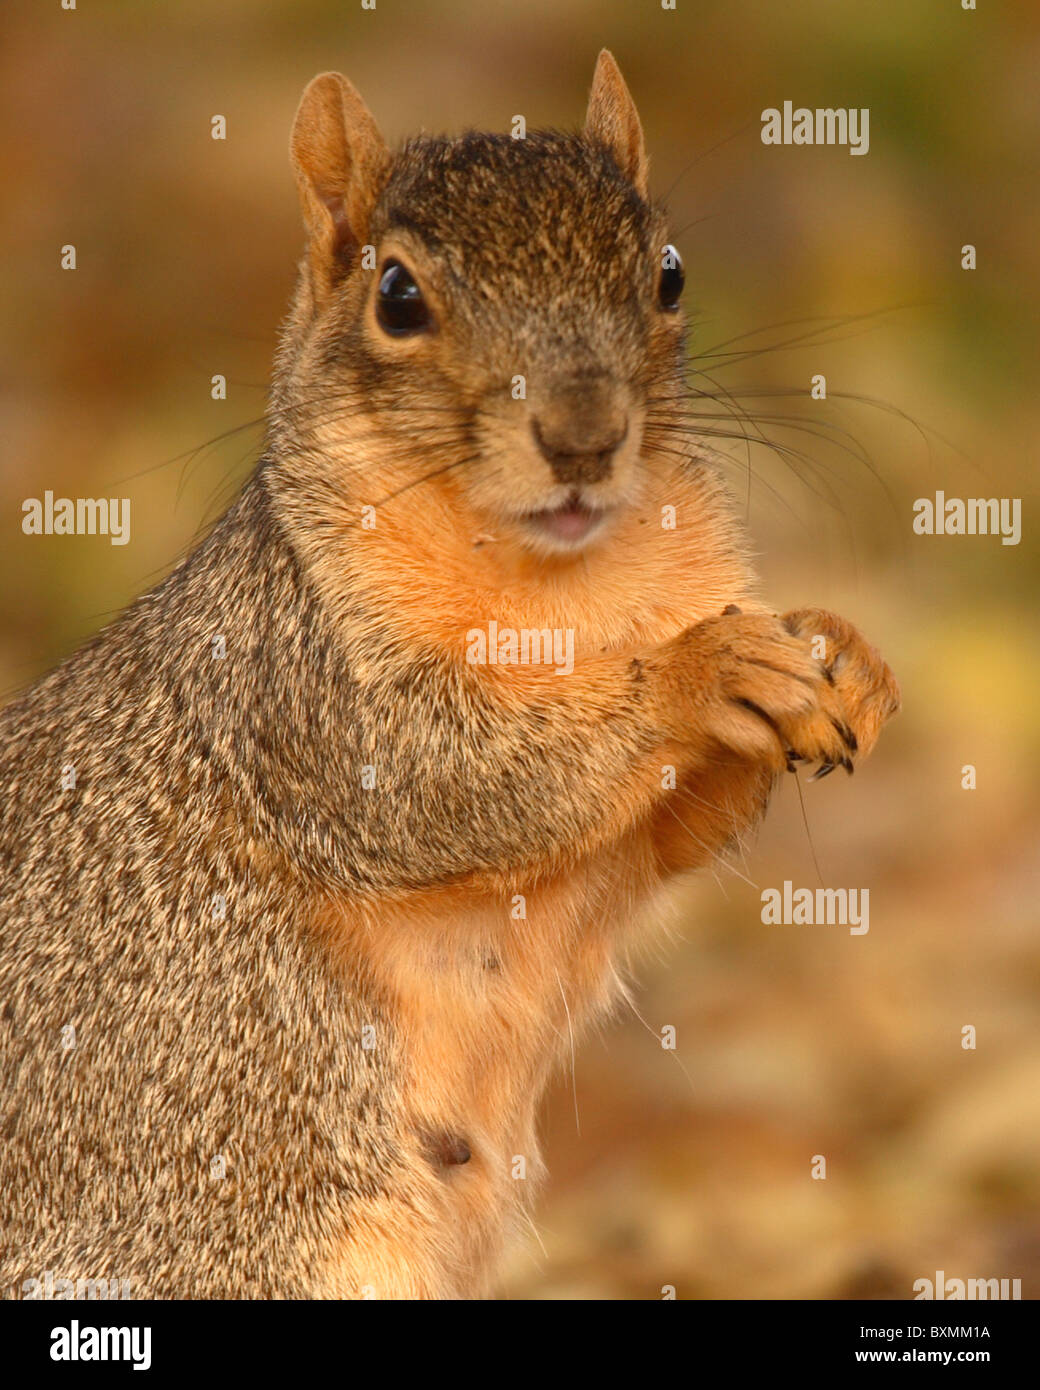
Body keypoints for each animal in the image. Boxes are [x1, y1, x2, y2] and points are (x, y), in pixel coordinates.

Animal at [0, 52, 899, 1300]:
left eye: (667, 273)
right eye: (397, 296)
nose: (583, 437)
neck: (562, 590)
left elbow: (675, 830)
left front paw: (841, 652)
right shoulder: (295, 687)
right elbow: (445, 779)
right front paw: (697, 669)